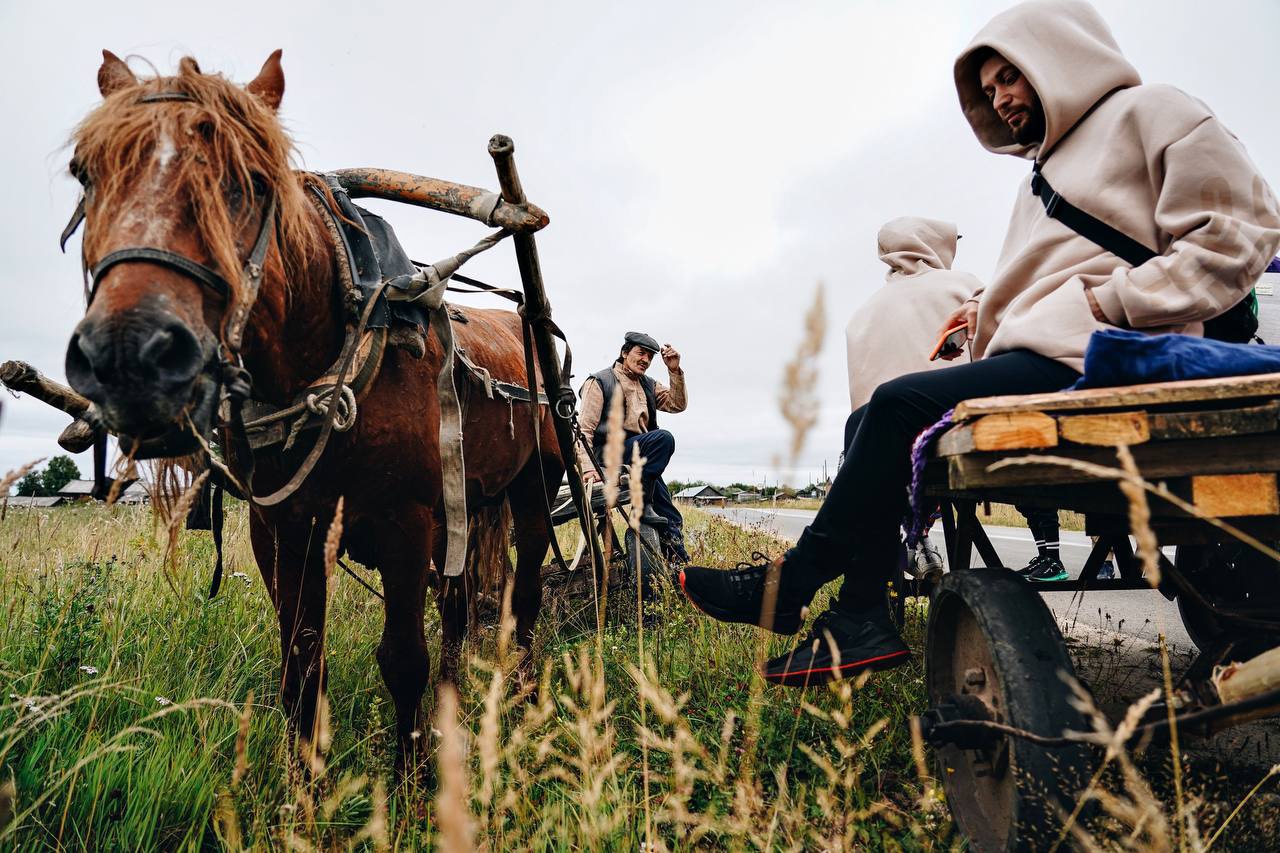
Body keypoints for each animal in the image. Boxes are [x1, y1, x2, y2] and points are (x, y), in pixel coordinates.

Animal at [60, 49, 560, 773]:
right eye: (86, 173)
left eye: (251, 182)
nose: (130, 355)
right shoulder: (282, 527)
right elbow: (301, 669)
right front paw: (306, 787)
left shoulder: (406, 520)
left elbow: (401, 660)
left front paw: (410, 782)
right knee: (460, 603)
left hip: (533, 491)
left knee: (522, 598)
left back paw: (517, 695)